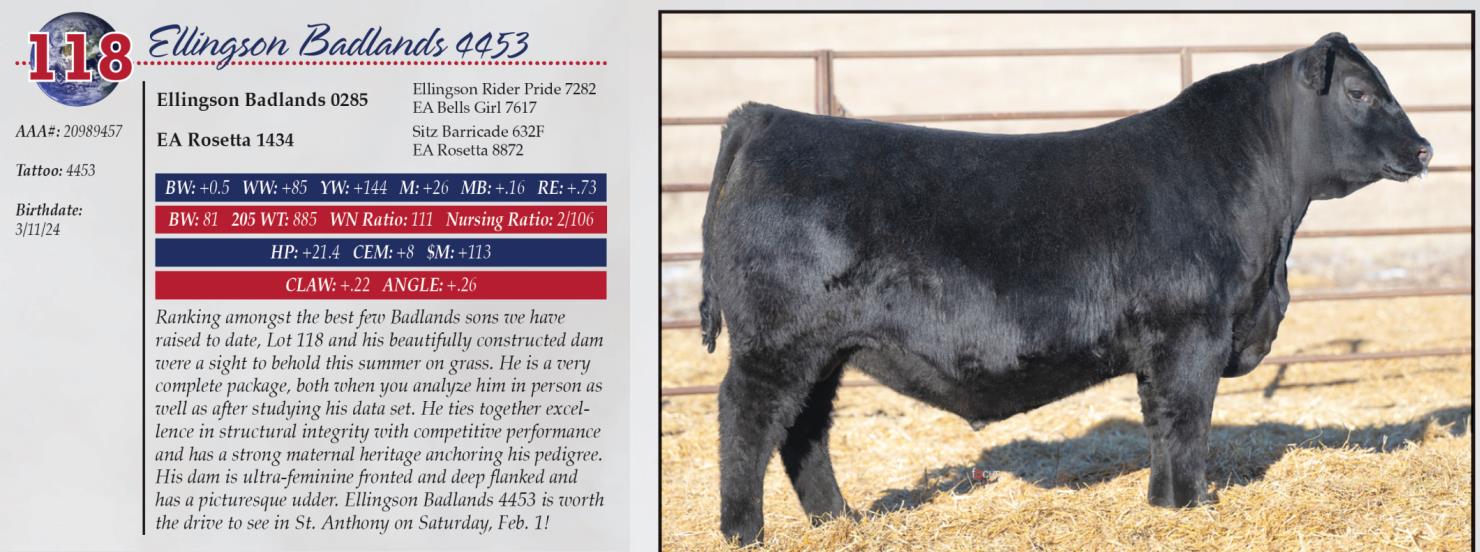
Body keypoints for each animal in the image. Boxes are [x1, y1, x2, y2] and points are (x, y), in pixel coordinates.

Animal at [697, 33, 1431, 546]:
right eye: (1360, 93)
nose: (1424, 149)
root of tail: (766, 118)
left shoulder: (1161, 347)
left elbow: (1161, 424)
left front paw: (1165, 504)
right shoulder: (1192, 331)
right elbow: (1188, 420)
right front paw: (1193, 504)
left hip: (824, 350)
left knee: (804, 432)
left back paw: (840, 521)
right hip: (777, 342)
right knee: (747, 418)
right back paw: (743, 532)